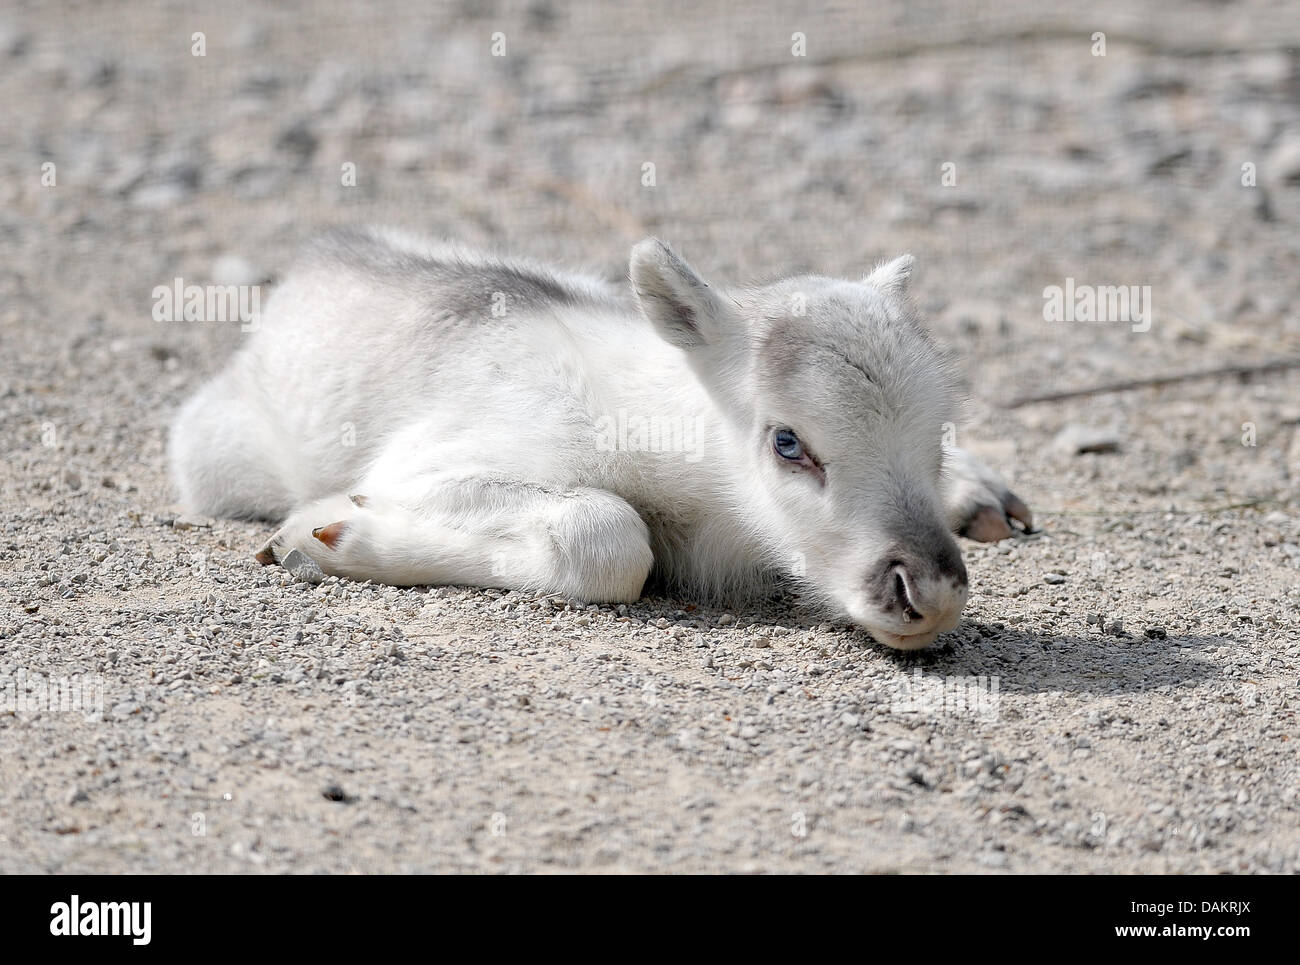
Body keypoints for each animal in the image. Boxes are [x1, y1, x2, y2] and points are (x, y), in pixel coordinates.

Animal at [169, 228, 1032, 649]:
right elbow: (613, 539)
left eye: (936, 430)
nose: (928, 591)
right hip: (217, 452)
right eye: (789, 442)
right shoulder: (424, 463)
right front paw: (323, 534)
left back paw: (986, 496)